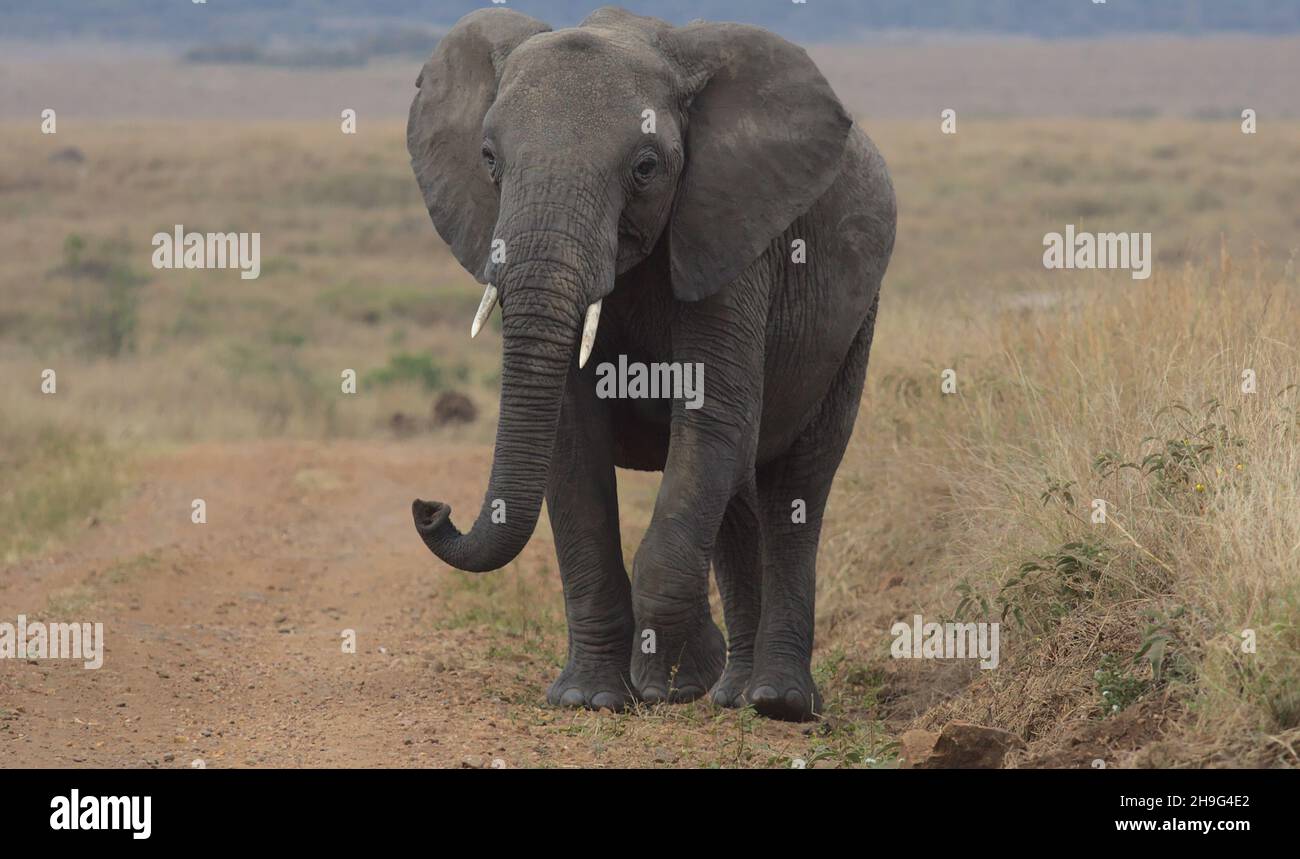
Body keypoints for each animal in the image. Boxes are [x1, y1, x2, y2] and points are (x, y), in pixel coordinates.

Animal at [407, 5, 895, 721]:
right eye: (489, 161)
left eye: (645, 167)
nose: (429, 508)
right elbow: (572, 445)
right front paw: (589, 698)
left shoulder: (734, 232)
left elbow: (710, 417)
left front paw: (662, 682)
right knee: (738, 496)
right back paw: (729, 692)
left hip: (855, 322)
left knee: (796, 487)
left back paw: (775, 702)